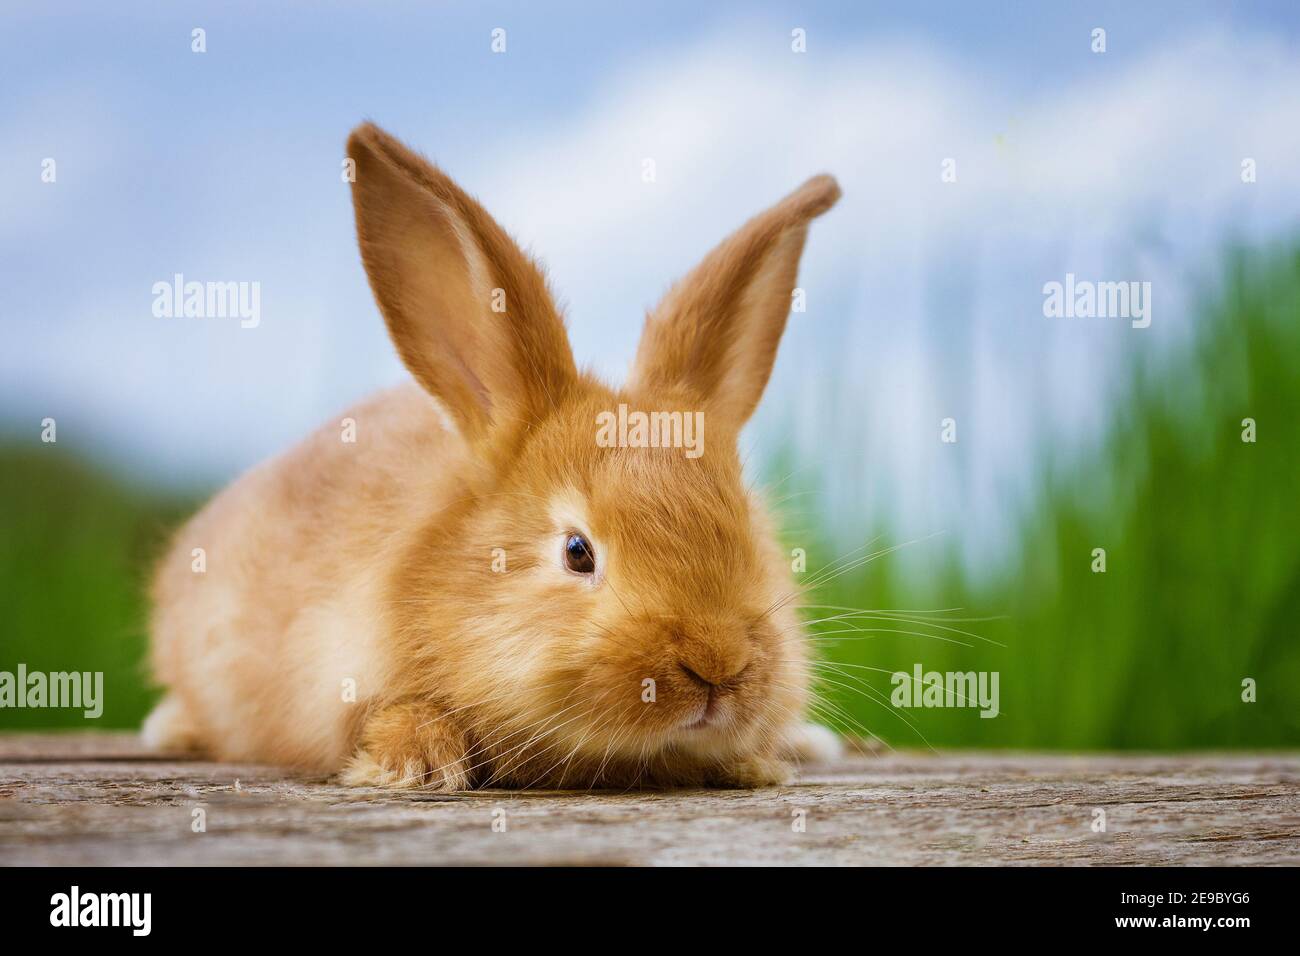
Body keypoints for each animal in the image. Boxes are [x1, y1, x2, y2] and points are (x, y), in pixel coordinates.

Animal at [143, 122, 842, 790]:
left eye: (750, 535)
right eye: (577, 552)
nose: (718, 665)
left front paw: (756, 762)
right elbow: (398, 714)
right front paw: (419, 766)